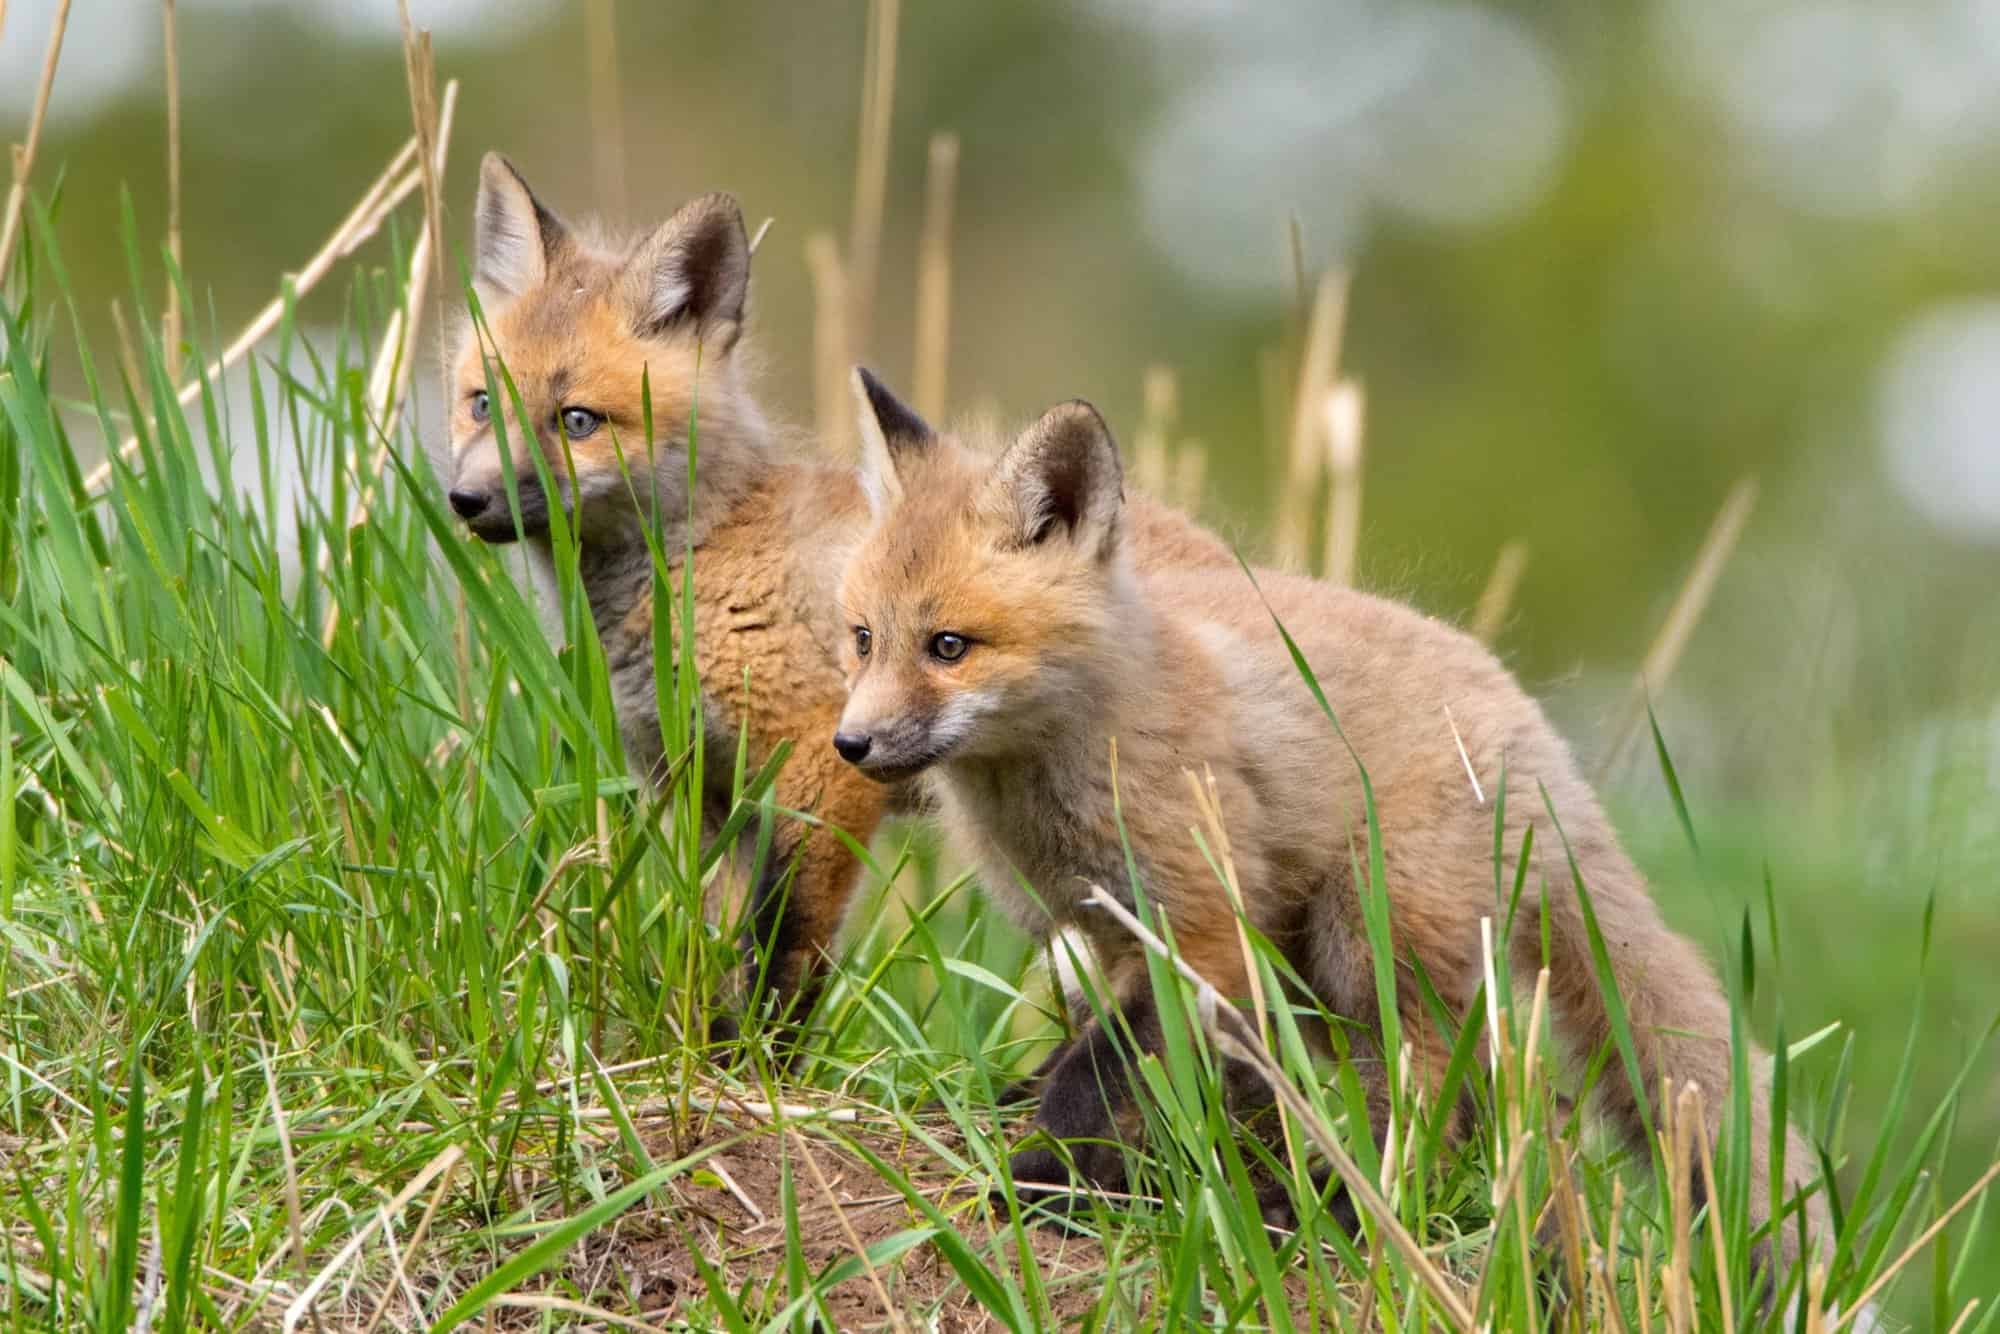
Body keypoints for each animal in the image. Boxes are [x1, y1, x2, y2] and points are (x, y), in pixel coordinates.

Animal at [440, 155, 1238, 1035]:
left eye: (576, 420)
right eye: (481, 404)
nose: (465, 501)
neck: (706, 562)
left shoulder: (823, 766)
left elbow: (784, 952)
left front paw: (755, 1055)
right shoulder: (710, 799)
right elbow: (716, 949)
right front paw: (715, 1045)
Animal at [832, 378, 1835, 1281]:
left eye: (949, 647)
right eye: (863, 639)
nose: (851, 744)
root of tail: (1538, 736)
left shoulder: (1198, 924)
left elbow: (1100, 1077)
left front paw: (1041, 1177)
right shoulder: (1088, 929)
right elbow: (1109, 1061)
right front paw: (1066, 1141)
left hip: (1367, 942)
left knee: (1442, 1099)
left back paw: (1350, 1211)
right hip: (1316, 964)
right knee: (1487, 1099)